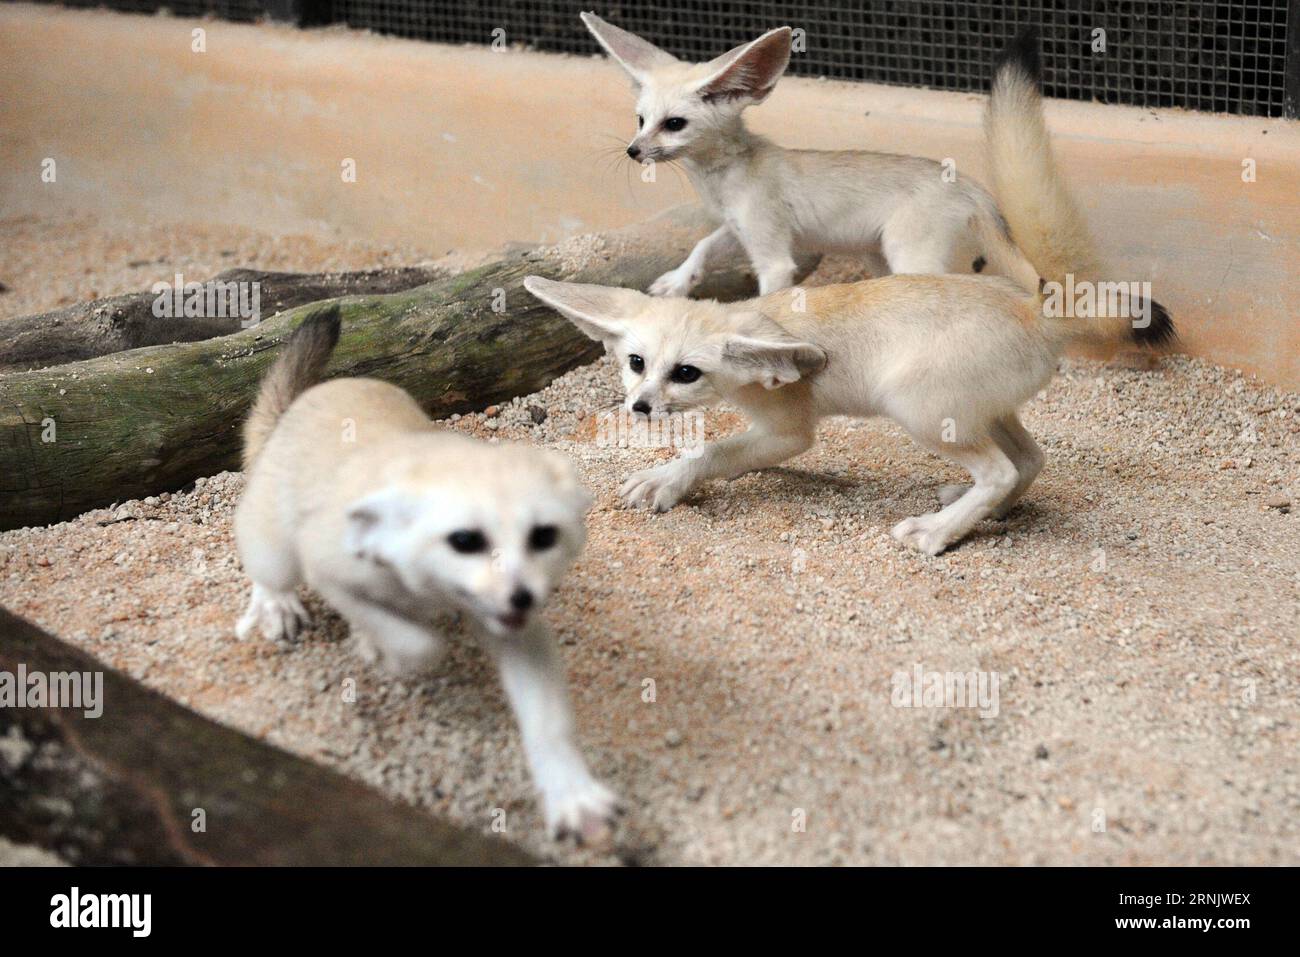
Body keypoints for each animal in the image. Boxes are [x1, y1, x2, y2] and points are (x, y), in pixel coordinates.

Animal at [233, 306, 619, 843]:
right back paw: (279, 606)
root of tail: (299, 403)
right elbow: (416, 642)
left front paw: (574, 797)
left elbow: (549, 721)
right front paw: (390, 652)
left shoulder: (520, 630)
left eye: (543, 536)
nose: (522, 598)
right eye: (465, 541)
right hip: (276, 547)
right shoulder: (327, 565)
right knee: (264, 566)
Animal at [581, 13, 1072, 298]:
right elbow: (703, 244)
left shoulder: (773, 253)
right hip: (878, 255)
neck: (725, 174)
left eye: (674, 124)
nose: (632, 151)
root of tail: (969, 181)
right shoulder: (740, 227)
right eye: (640, 119)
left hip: (908, 254)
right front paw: (679, 280)